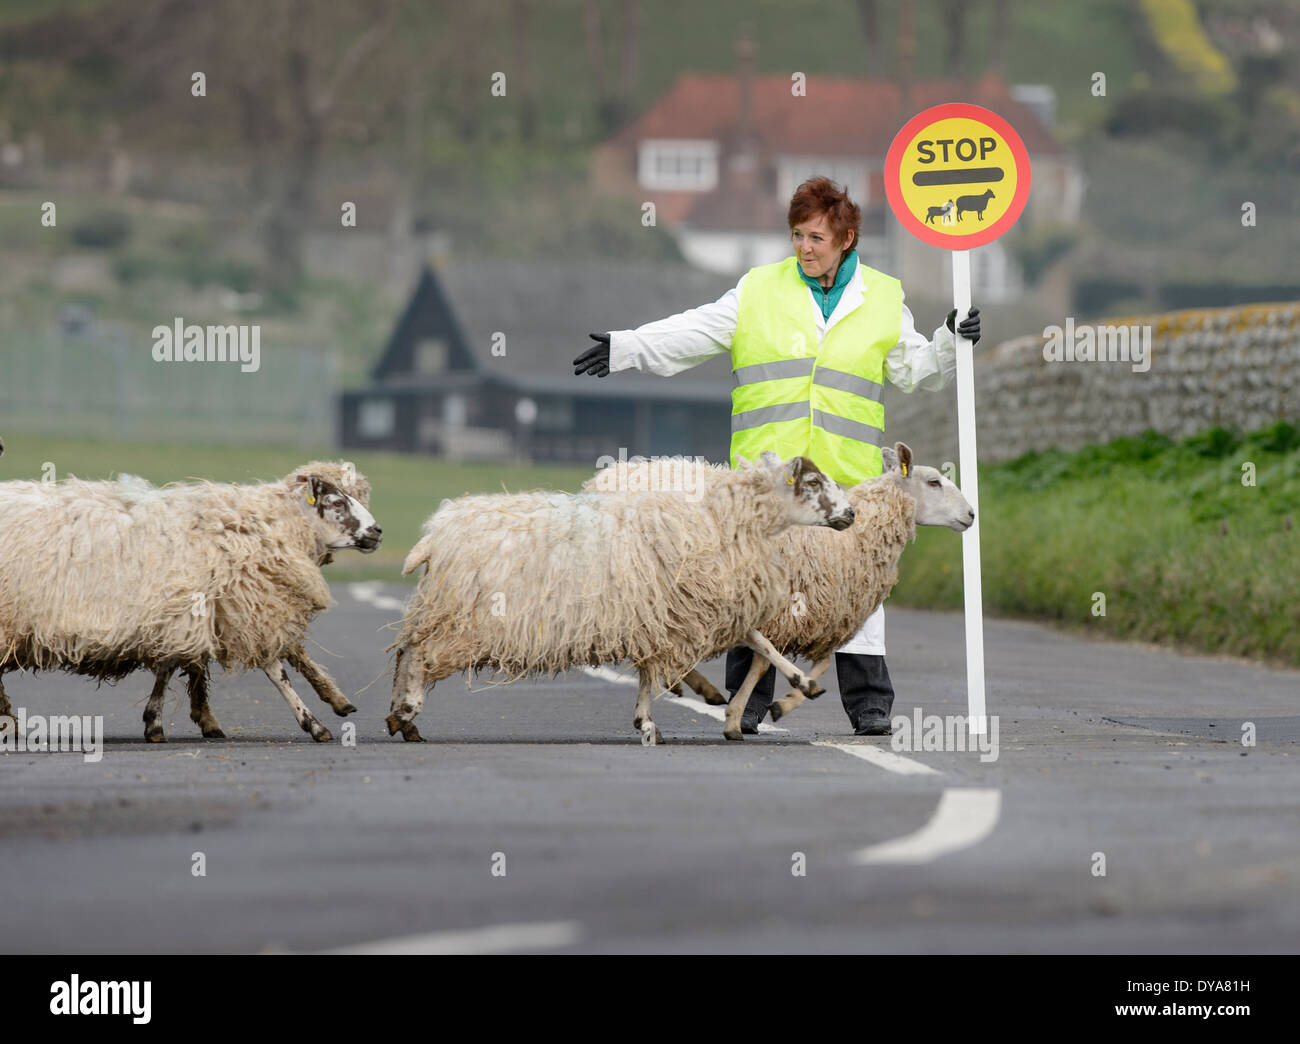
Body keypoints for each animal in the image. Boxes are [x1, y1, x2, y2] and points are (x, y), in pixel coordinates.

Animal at [0, 462, 381, 743]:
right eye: (337, 503)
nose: (378, 532)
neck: (267, 528)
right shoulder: (229, 610)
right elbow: (276, 670)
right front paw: (314, 724)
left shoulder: (194, 613)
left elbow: (176, 664)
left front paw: (165, 722)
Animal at [387, 452, 855, 744]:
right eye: (813, 481)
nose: (851, 514)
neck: (722, 518)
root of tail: (436, 533)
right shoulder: (682, 610)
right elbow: (749, 646)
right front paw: (649, 723)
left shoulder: (680, 612)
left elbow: (759, 643)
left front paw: (803, 683)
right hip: (460, 616)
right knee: (418, 655)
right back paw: (407, 710)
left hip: (442, 608)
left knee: (407, 650)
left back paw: (401, 718)